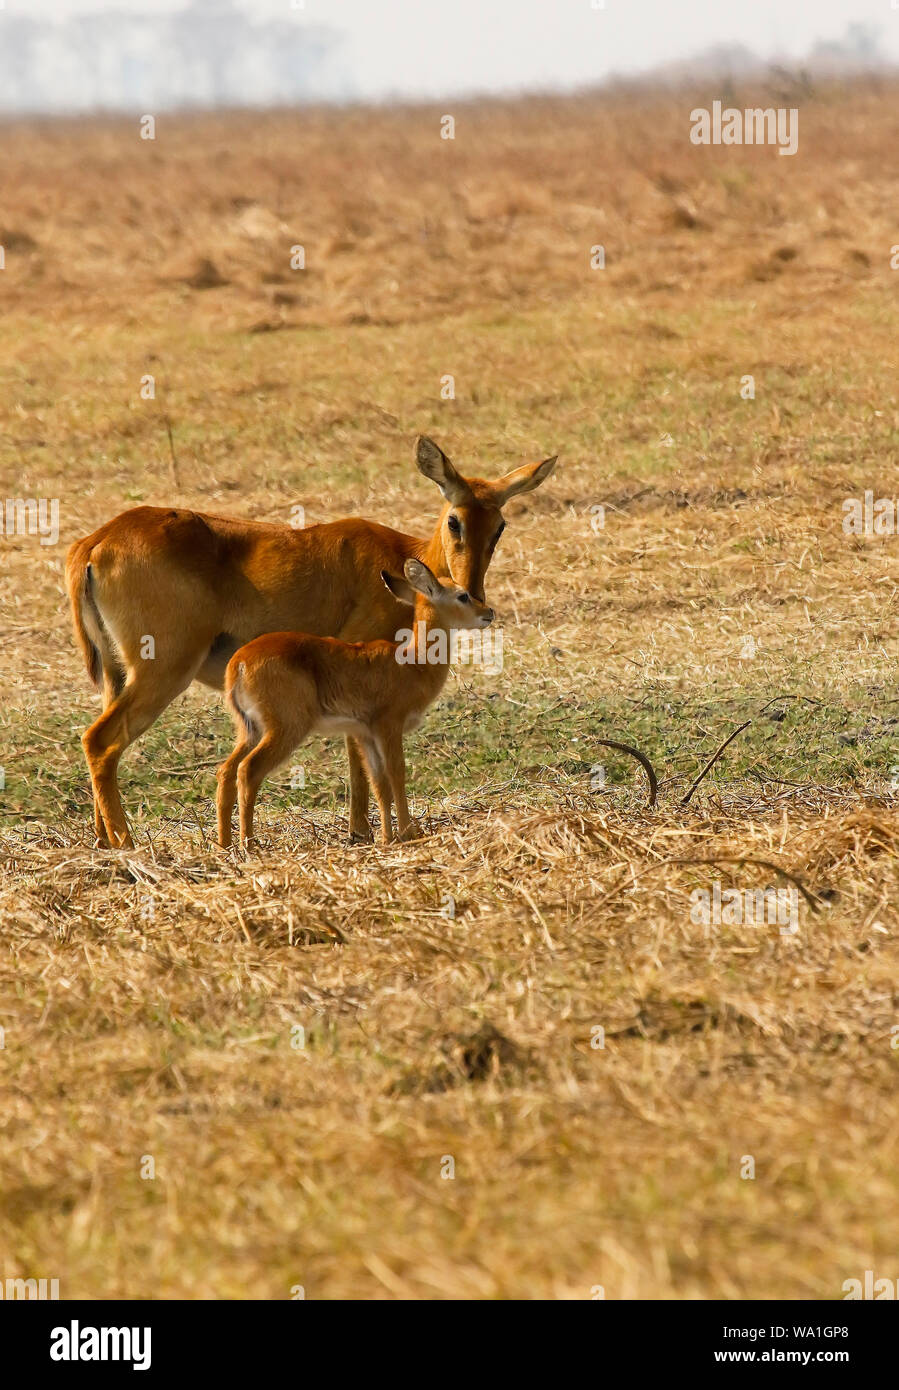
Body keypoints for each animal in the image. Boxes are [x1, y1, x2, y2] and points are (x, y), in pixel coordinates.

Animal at [216, 559, 494, 847]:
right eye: (462, 595)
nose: (489, 612)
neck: (413, 664)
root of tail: (240, 662)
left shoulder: (365, 734)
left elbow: (379, 782)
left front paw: (387, 837)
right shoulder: (388, 727)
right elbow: (397, 773)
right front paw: (408, 833)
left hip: (249, 730)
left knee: (226, 770)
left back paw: (224, 845)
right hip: (285, 730)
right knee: (248, 771)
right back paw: (249, 845)